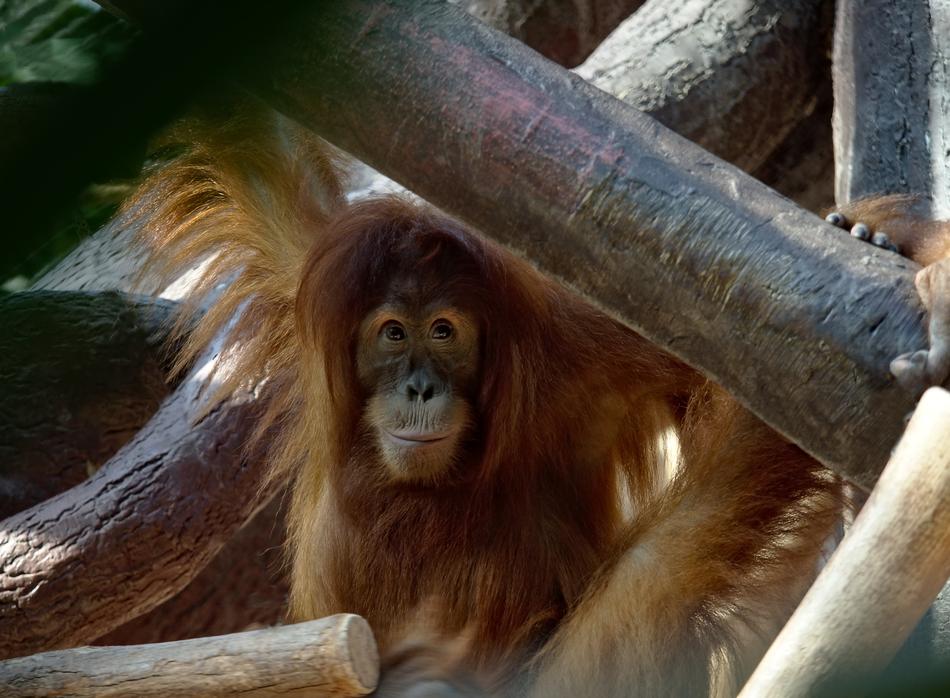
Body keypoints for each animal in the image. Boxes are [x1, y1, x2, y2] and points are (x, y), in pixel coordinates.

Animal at [126, 104, 847, 696]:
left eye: (444, 332)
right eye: (394, 333)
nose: (420, 387)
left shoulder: (580, 356)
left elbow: (745, 382)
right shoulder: (307, 271)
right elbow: (258, 153)